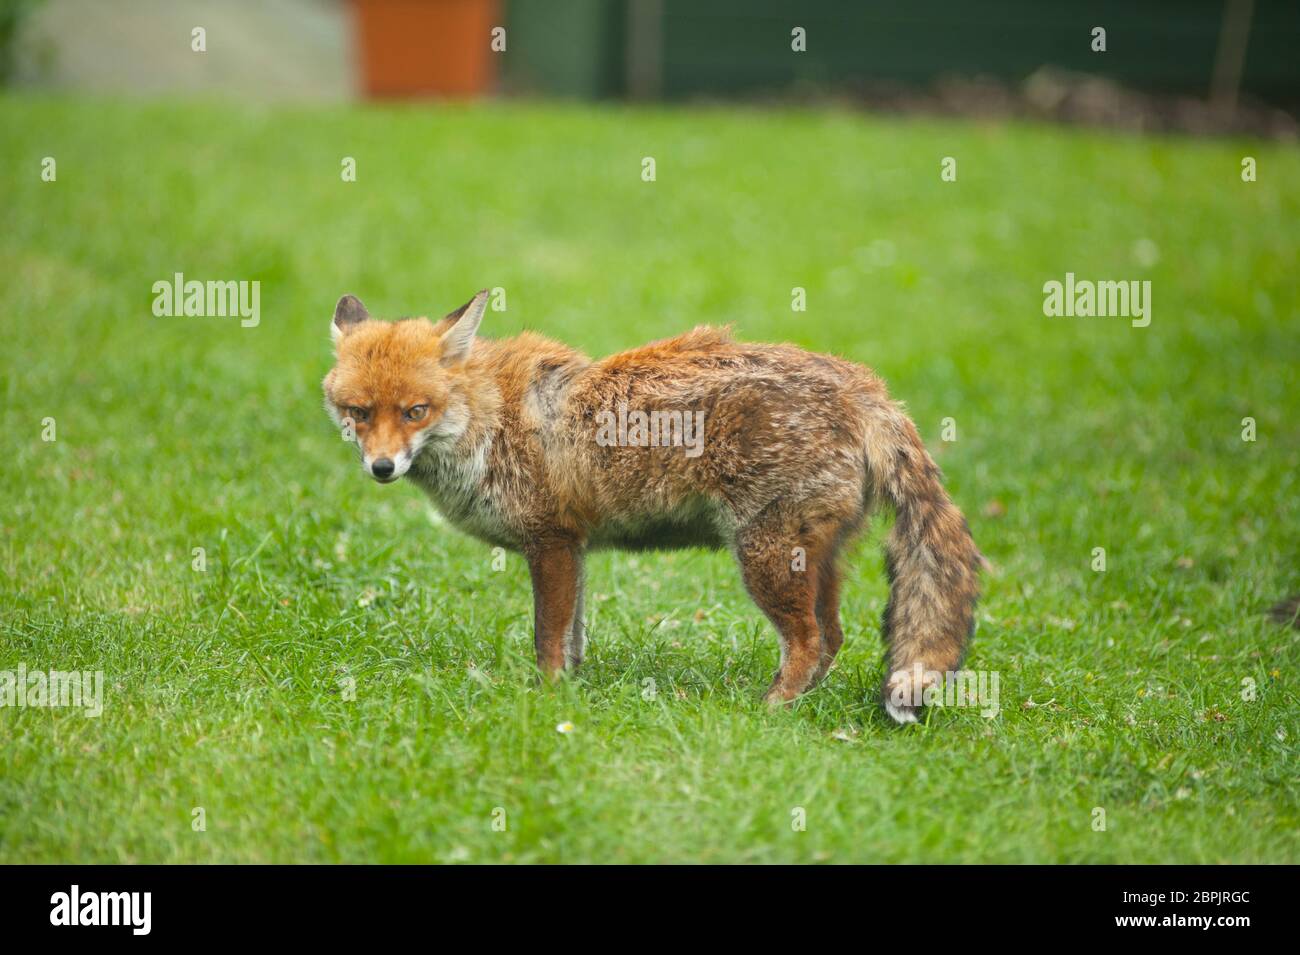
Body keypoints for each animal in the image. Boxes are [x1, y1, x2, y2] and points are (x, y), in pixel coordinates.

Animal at [322, 290, 982, 723]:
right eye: (359, 412)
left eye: (415, 411)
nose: (381, 468)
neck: (490, 420)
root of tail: (866, 387)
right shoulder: (575, 548)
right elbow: (573, 636)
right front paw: (573, 691)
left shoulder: (550, 541)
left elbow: (547, 639)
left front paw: (548, 701)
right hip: (815, 558)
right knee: (835, 636)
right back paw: (804, 704)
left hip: (764, 557)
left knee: (810, 640)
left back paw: (772, 710)